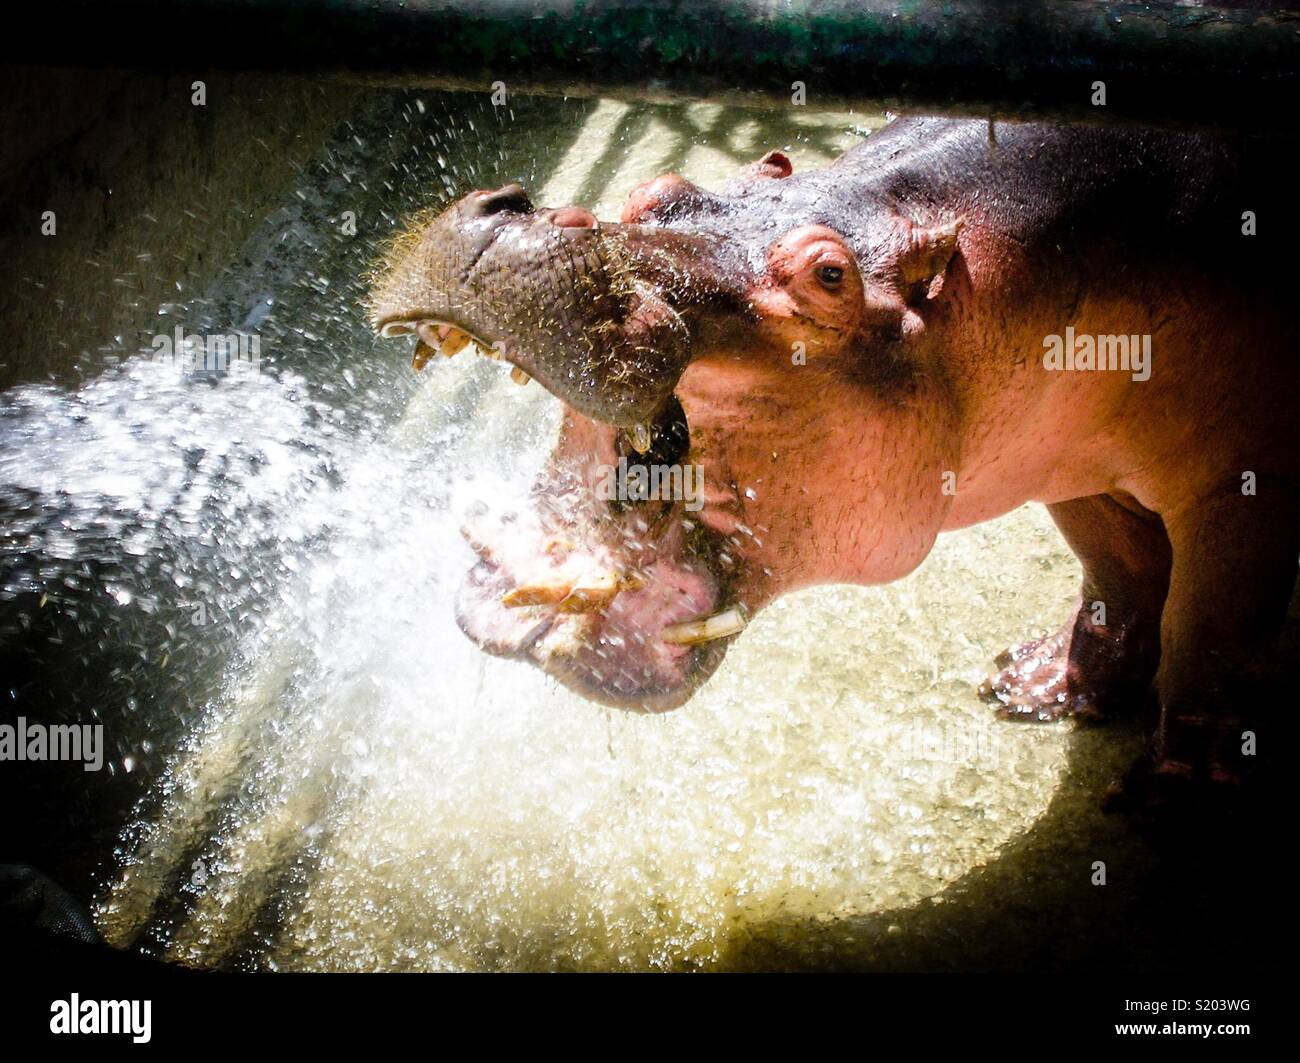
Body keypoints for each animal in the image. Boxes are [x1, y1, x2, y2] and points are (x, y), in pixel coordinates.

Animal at [371, 116, 1296, 816]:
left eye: (827, 276)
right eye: (658, 188)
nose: (513, 224)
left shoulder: (1238, 488)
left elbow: (1205, 642)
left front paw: (1168, 806)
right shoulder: (1063, 461)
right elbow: (1116, 573)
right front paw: (1031, 687)